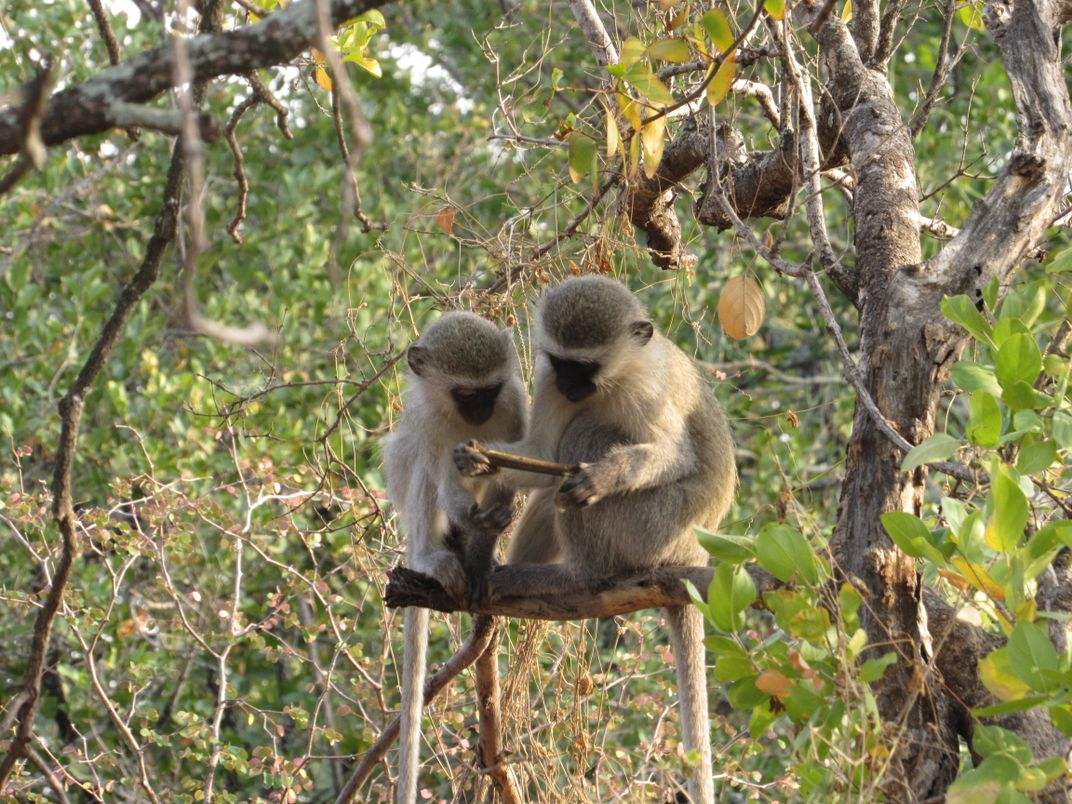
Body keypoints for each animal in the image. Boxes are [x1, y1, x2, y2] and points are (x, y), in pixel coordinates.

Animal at [382, 310, 526, 804]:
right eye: (465, 394)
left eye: (490, 391)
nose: (479, 413)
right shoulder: (430, 422)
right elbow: (440, 474)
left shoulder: (514, 403)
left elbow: (513, 468)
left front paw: (486, 547)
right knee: (422, 470)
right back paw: (433, 556)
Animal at [455, 275, 735, 804]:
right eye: (562, 362)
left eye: (586, 366)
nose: (570, 385)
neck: (615, 379)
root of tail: (690, 552)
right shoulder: (547, 381)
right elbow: (539, 455)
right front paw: (478, 462)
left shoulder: (648, 391)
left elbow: (675, 457)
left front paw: (607, 475)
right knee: (553, 487)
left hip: (653, 527)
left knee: (585, 435)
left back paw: (576, 575)